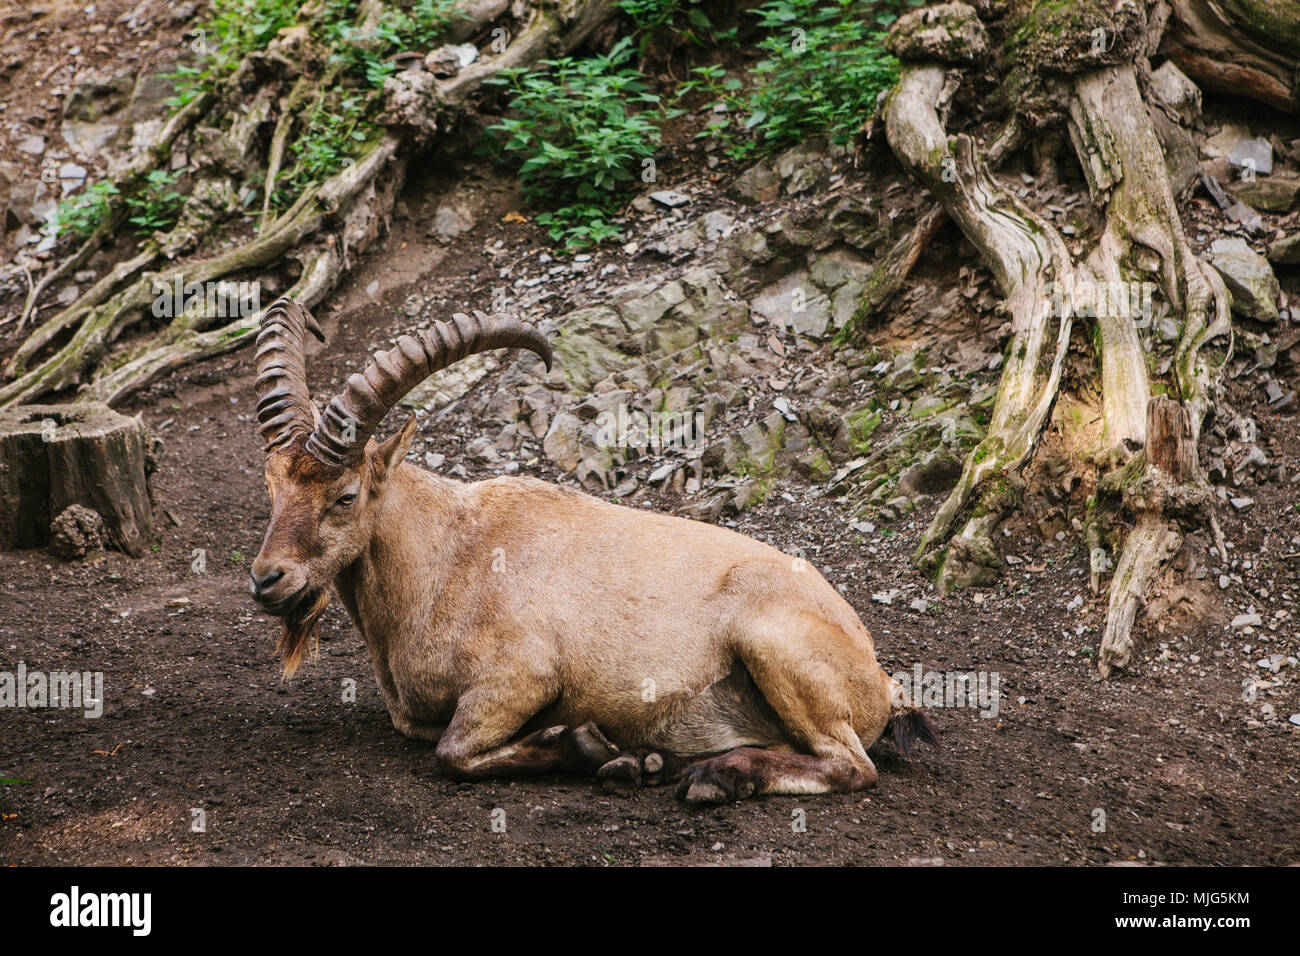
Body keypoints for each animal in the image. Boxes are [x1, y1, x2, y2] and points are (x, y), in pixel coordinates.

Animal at [249, 296, 937, 802]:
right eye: (272, 485)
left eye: (346, 495)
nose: (267, 580)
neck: (445, 559)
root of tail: (880, 678)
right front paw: (625, 760)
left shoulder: (522, 676)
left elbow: (454, 752)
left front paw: (596, 750)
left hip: (772, 640)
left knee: (851, 765)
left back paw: (713, 777)